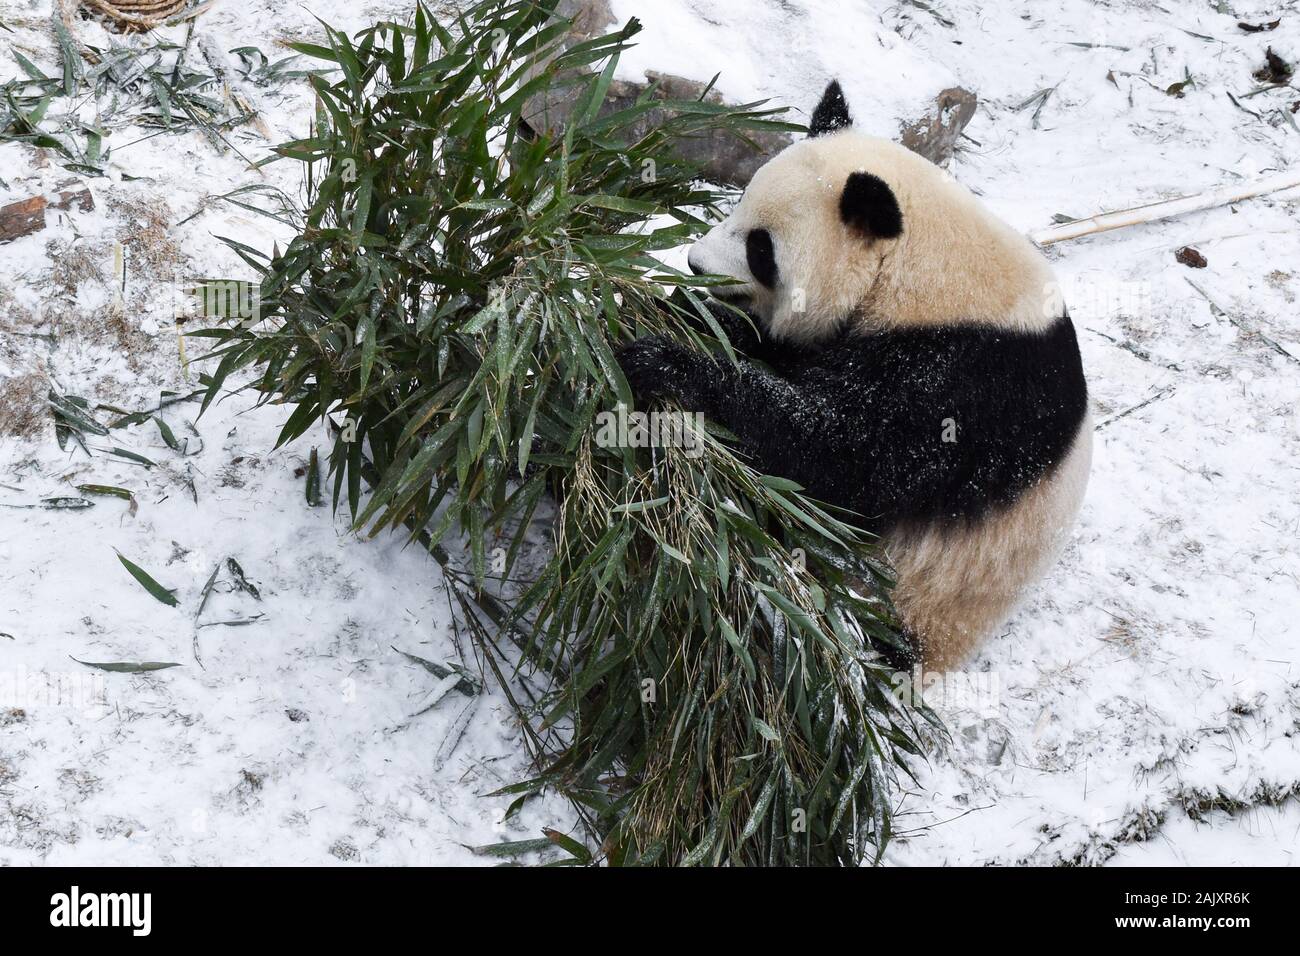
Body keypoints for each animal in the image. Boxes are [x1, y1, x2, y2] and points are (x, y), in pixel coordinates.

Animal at [616, 81, 1091, 671]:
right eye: (740, 200)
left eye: (760, 247)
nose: (695, 263)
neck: (923, 266)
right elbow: (786, 355)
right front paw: (682, 309)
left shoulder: (961, 383)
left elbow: (838, 455)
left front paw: (667, 362)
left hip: (920, 596)